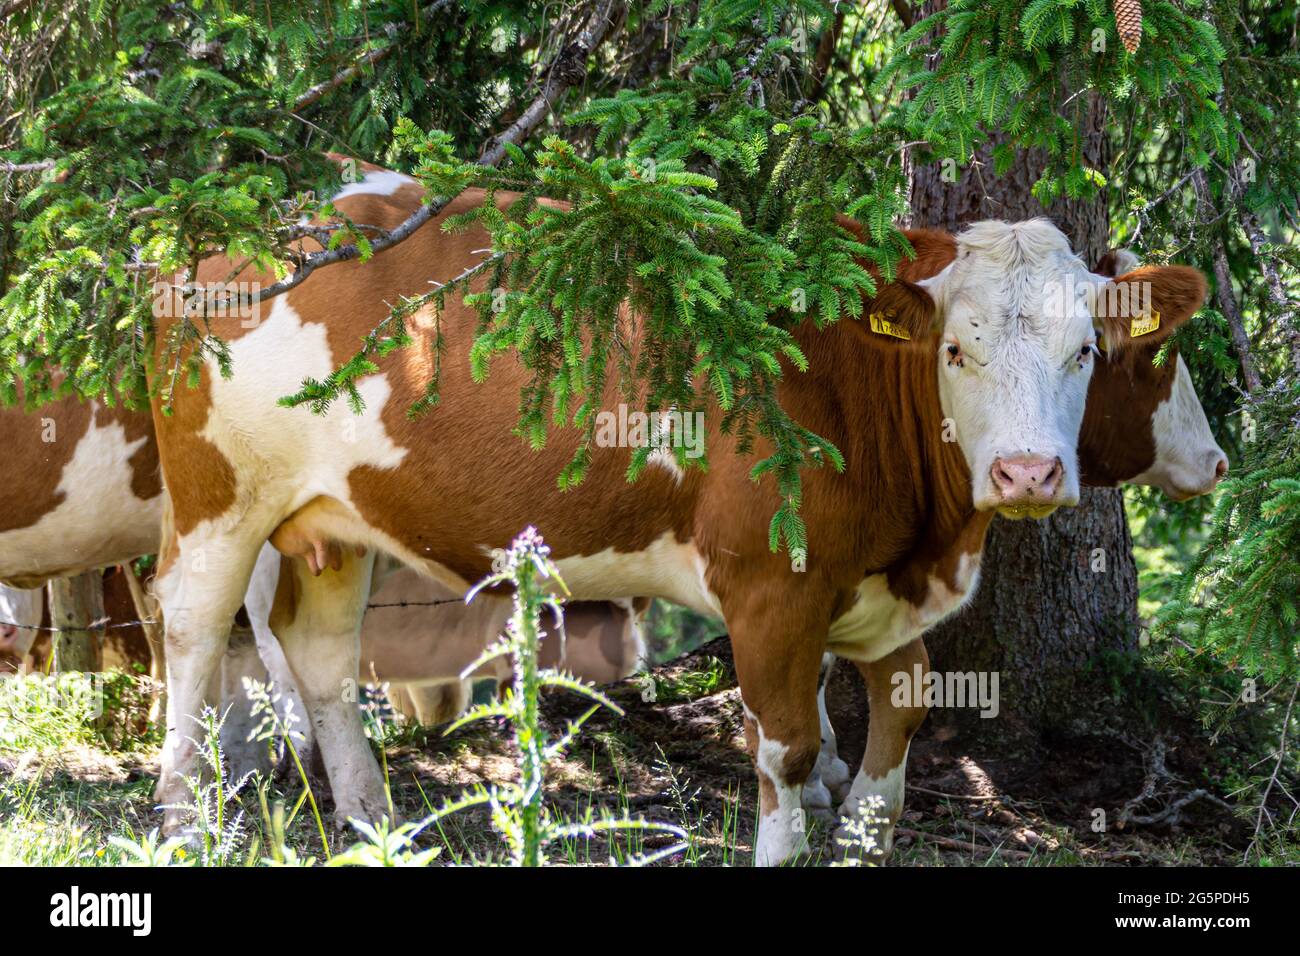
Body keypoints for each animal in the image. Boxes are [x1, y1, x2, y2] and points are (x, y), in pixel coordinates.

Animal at [146, 162, 1222, 864]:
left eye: (1086, 350)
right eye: (956, 350)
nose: (1027, 472)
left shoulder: (872, 583)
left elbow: (903, 711)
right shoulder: (771, 589)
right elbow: (786, 749)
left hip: (332, 516)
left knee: (322, 650)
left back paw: (372, 820)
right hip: (217, 497)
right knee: (193, 630)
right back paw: (182, 815)